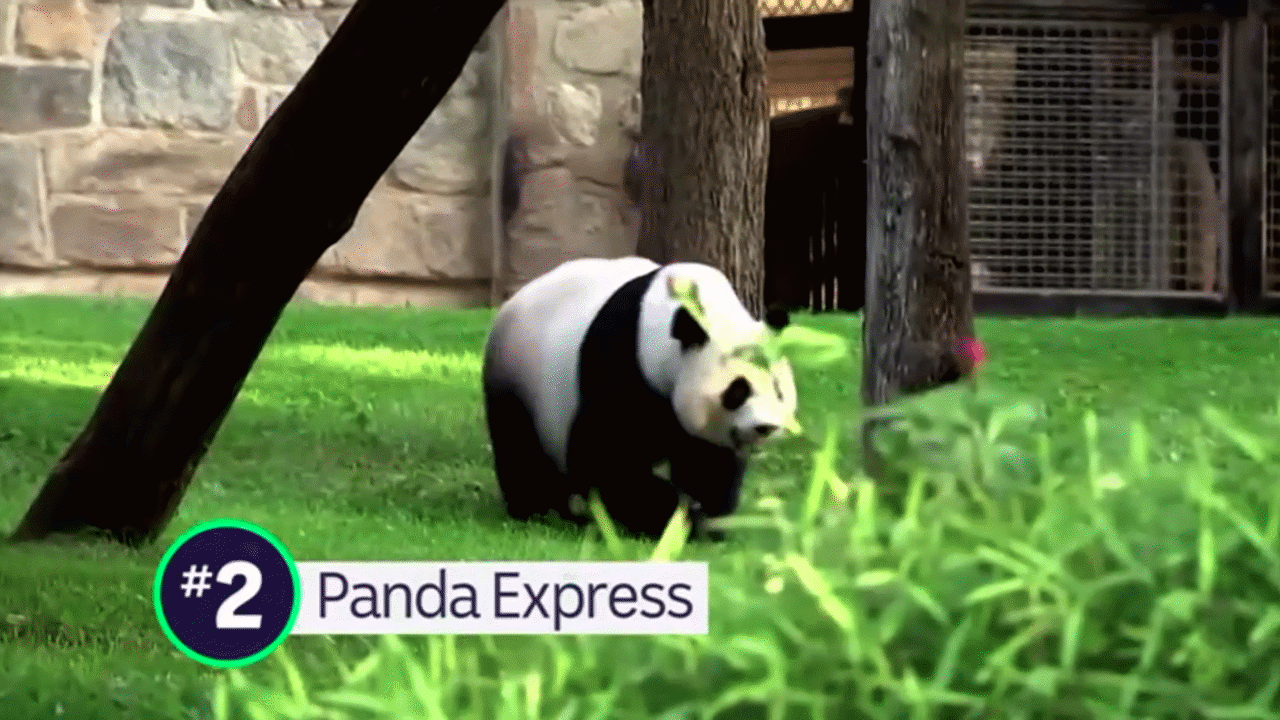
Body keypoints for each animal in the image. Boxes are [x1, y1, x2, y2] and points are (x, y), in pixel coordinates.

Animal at [482, 256, 798, 540]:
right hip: (519, 379)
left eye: (778, 389)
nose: (764, 427)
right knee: (520, 448)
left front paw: (708, 521)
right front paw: (680, 516)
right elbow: (605, 457)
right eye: (737, 390)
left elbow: (708, 461)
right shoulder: (620, 359)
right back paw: (539, 510)